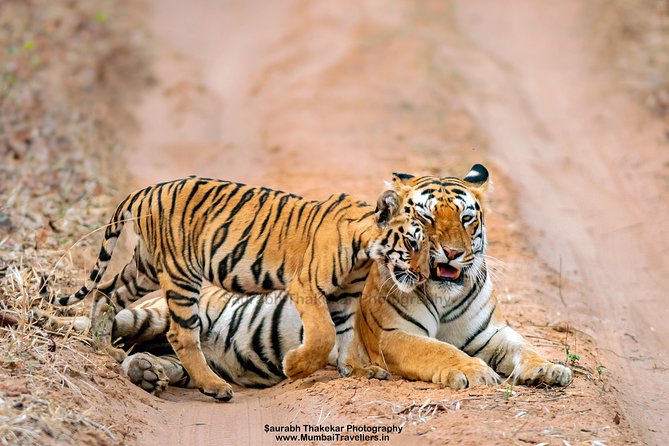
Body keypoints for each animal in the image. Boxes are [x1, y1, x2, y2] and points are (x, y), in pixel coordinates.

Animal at [42, 176, 430, 401]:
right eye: (413, 243)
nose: (427, 275)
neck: (365, 252)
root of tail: (148, 190)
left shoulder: (345, 297)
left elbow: (346, 335)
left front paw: (357, 371)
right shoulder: (306, 286)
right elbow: (323, 336)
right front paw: (295, 366)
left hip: (146, 267)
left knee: (107, 292)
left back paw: (104, 348)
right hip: (181, 273)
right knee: (180, 334)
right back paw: (214, 387)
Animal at [341, 164, 573, 388]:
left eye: (466, 218)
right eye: (426, 217)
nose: (452, 252)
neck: (443, 297)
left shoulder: (489, 332)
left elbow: (523, 346)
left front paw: (548, 368)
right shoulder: (391, 333)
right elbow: (438, 349)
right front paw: (475, 371)